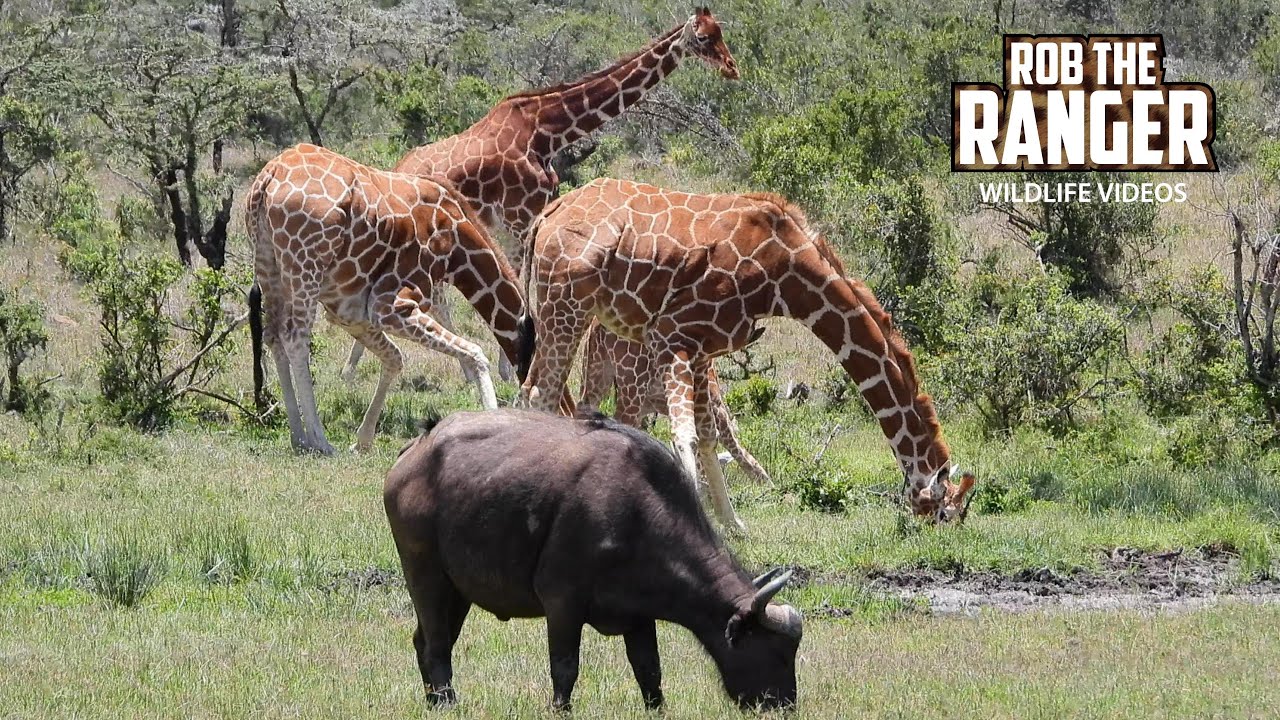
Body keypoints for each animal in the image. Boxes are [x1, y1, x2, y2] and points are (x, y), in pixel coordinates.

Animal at [246, 144, 532, 454]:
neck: (456, 244)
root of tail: (268, 177)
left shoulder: (349, 311)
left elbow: (395, 358)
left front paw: (362, 441)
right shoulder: (391, 305)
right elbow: (475, 351)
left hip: (268, 263)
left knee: (273, 335)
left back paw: (298, 436)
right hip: (304, 266)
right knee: (295, 338)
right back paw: (320, 440)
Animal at [342, 7, 739, 381]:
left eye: (721, 30)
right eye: (703, 38)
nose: (732, 68)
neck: (548, 131)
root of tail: (396, 169)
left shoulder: (523, 217)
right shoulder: (523, 214)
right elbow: (519, 282)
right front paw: (509, 365)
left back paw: (356, 364)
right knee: (432, 295)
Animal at [384, 409, 803, 711]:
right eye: (776, 653)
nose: (784, 705)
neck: (638, 514)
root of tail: (415, 450)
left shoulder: (639, 616)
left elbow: (649, 670)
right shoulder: (562, 604)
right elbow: (565, 668)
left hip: (458, 591)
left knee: (425, 642)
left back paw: (434, 701)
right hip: (426, 576)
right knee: (437, 645)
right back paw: (447, 704)